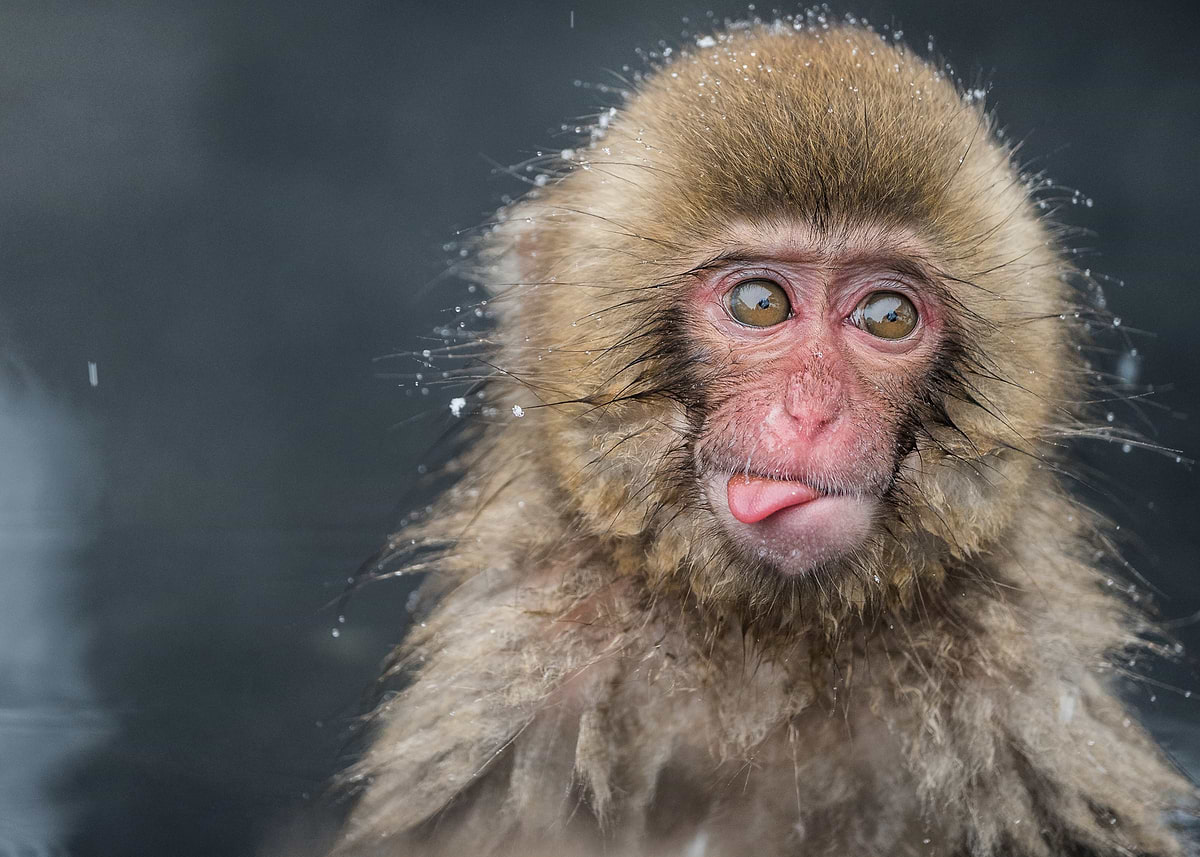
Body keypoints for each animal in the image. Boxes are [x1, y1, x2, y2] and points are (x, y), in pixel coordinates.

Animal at [330, 13, 1198, 857]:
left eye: (889, 315)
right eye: (759, 302)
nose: (812, 412)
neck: (764, 637)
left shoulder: (1027, 730)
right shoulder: (517, 695)